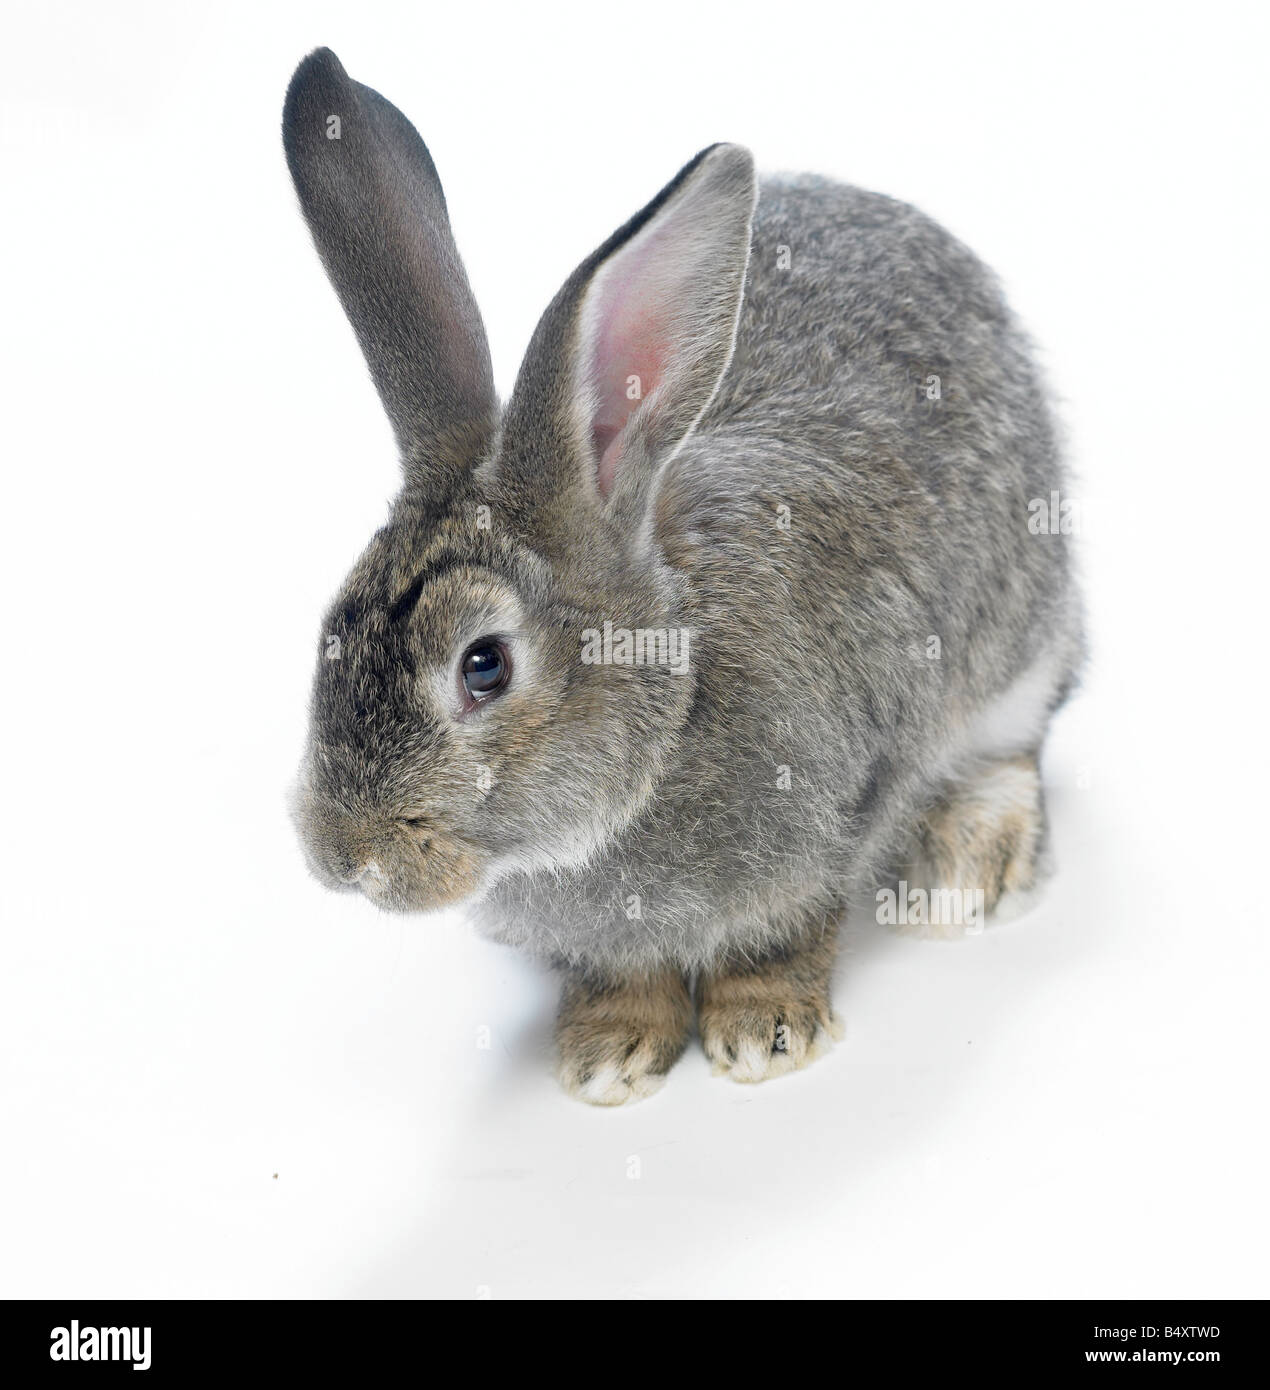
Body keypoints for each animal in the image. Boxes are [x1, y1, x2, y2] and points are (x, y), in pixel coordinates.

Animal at [284, 48, 1084, 1105]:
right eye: (327, 632)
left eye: (484, 666)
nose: (342, 856)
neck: (674, 693)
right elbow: (623, 975)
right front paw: (609, 1052)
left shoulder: (836, 814)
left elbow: (786, 934)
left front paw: (766, 1032)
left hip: (1020, 640)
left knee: (1012, 746)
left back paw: (966, 870)